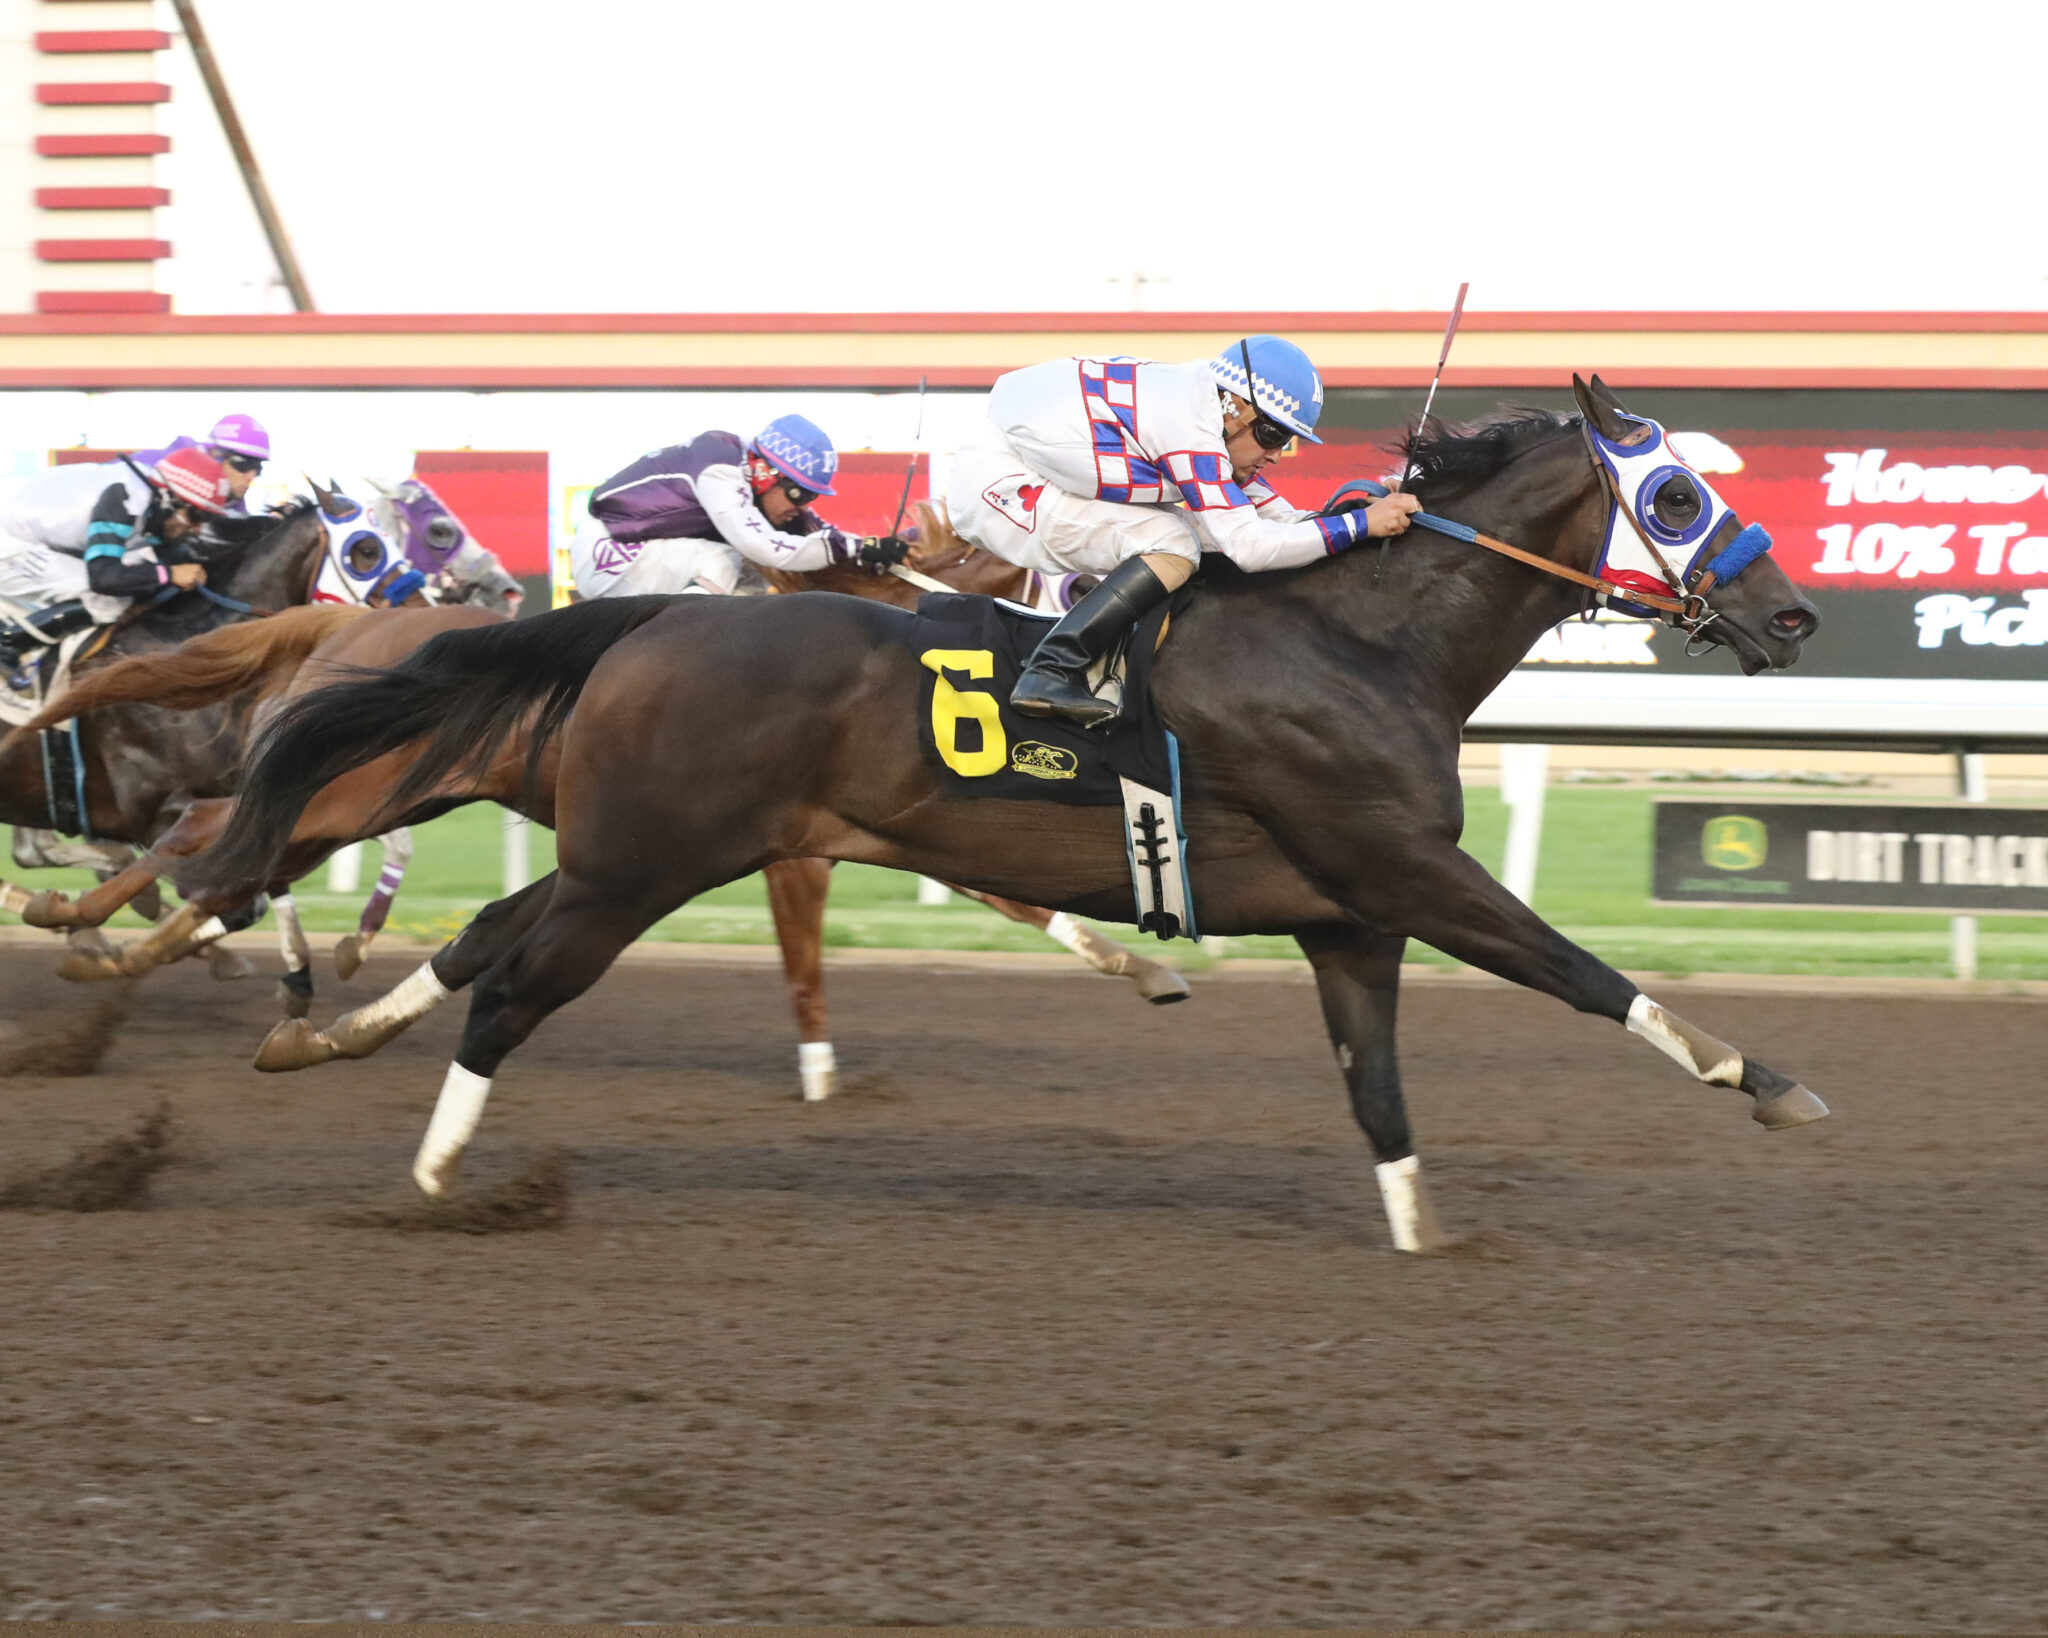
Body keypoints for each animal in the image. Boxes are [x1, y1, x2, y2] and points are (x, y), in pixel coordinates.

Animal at [12, 535, 1187, 1097]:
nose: (1074, 659)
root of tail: (340, 624)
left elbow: (1027, 904)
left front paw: (1147, 968)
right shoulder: (796, 843)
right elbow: (810, 955)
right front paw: (819, 1076)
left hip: (361, 792)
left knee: (230, 847)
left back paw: (140, 944)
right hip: (358, 791)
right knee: (209, 838)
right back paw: (99, 935)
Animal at [185, 377, 1828, 1251]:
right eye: (1676, 496)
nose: (1794, 615)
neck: (1360, 642)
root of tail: (653, 620)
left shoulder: (1354, 921)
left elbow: (1381, 1097)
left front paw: (1423, 1234)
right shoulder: (1406, 867)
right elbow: (1582, 972)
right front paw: (1764, 1078)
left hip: (634, 851)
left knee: (485, 935)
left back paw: (325, 1036)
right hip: (642, 864)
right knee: (513, 986)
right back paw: (434, 1172)